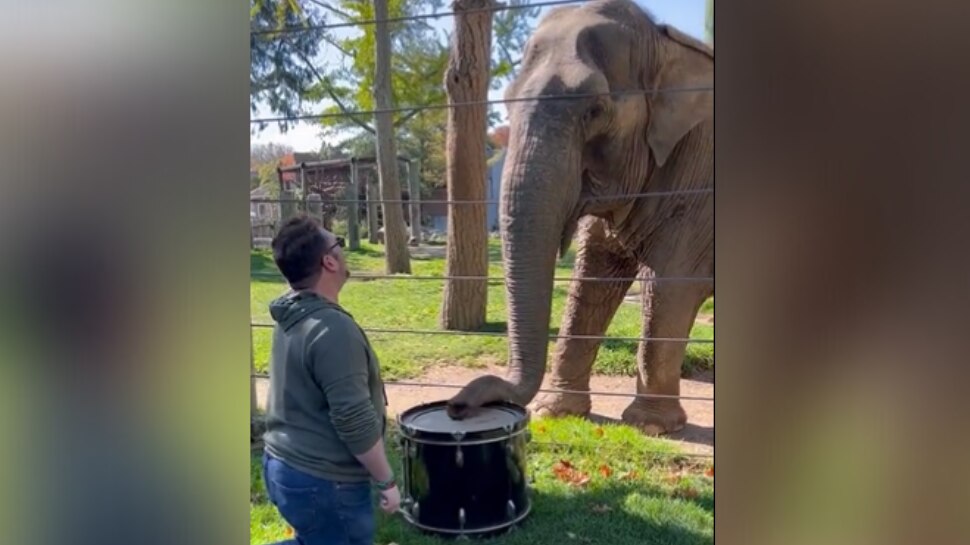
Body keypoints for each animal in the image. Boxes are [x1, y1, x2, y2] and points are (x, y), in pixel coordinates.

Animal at [446, 0, 713, 436]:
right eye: (508, 101)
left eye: (595, 110)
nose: (457, 406)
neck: (664, 42)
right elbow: (592, 280)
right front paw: (558, 412)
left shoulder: (699, 183)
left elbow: (668, 285)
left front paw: (650, 426)